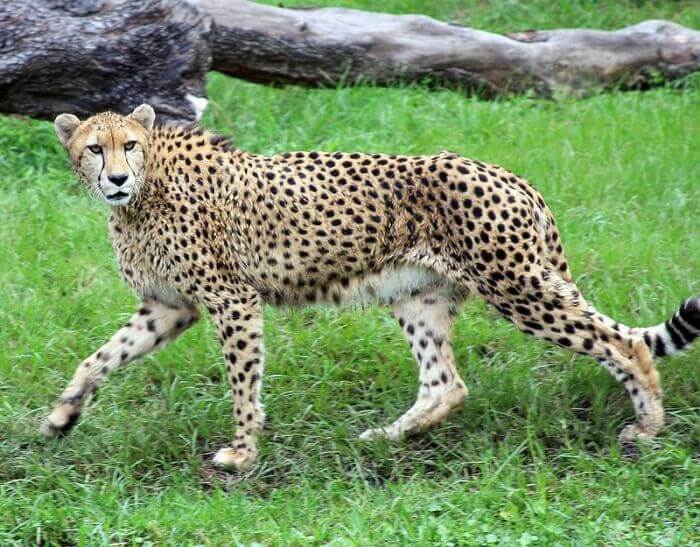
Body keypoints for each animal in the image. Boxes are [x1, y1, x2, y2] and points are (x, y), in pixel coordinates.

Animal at [43, 104, 699, 472]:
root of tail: (509, 175)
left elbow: (243, 383)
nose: (117, 179)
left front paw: (242, 453)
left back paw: (646, 430)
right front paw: (62, 415)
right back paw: (384, 438)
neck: (143, 194)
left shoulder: (232, 299)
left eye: (129, 145)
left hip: (516, 286)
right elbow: (99, 357)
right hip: (419, 297)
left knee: (623, 343)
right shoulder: (167, 307)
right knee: (446, 383)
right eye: (93, 149)